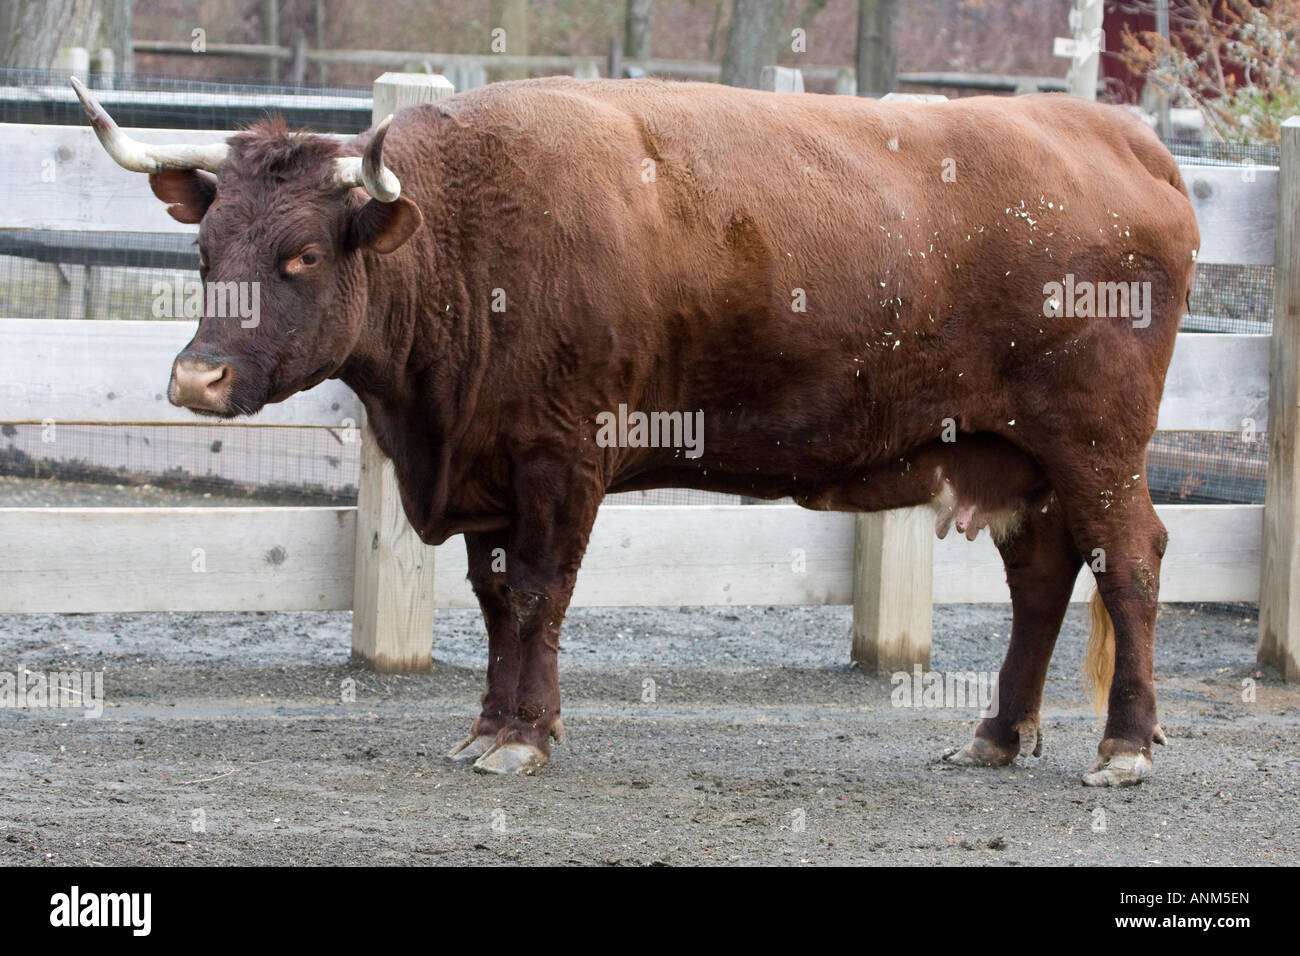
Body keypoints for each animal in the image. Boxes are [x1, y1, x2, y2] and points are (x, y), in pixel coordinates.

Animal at [71, 75, 1198, 785]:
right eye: (206, 252)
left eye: (302, 255)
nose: (198, 376)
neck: (470, 238)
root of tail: (1120, 138)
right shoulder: (491, 471)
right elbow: (495, 601)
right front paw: (489, 726)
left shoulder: (561, 459)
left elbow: (537, 594)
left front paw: (524, 737)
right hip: (1014, 455)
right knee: (1044, 578)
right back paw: (998, 734)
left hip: (1095, 443)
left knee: (1132, 560)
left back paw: (1127, 745)